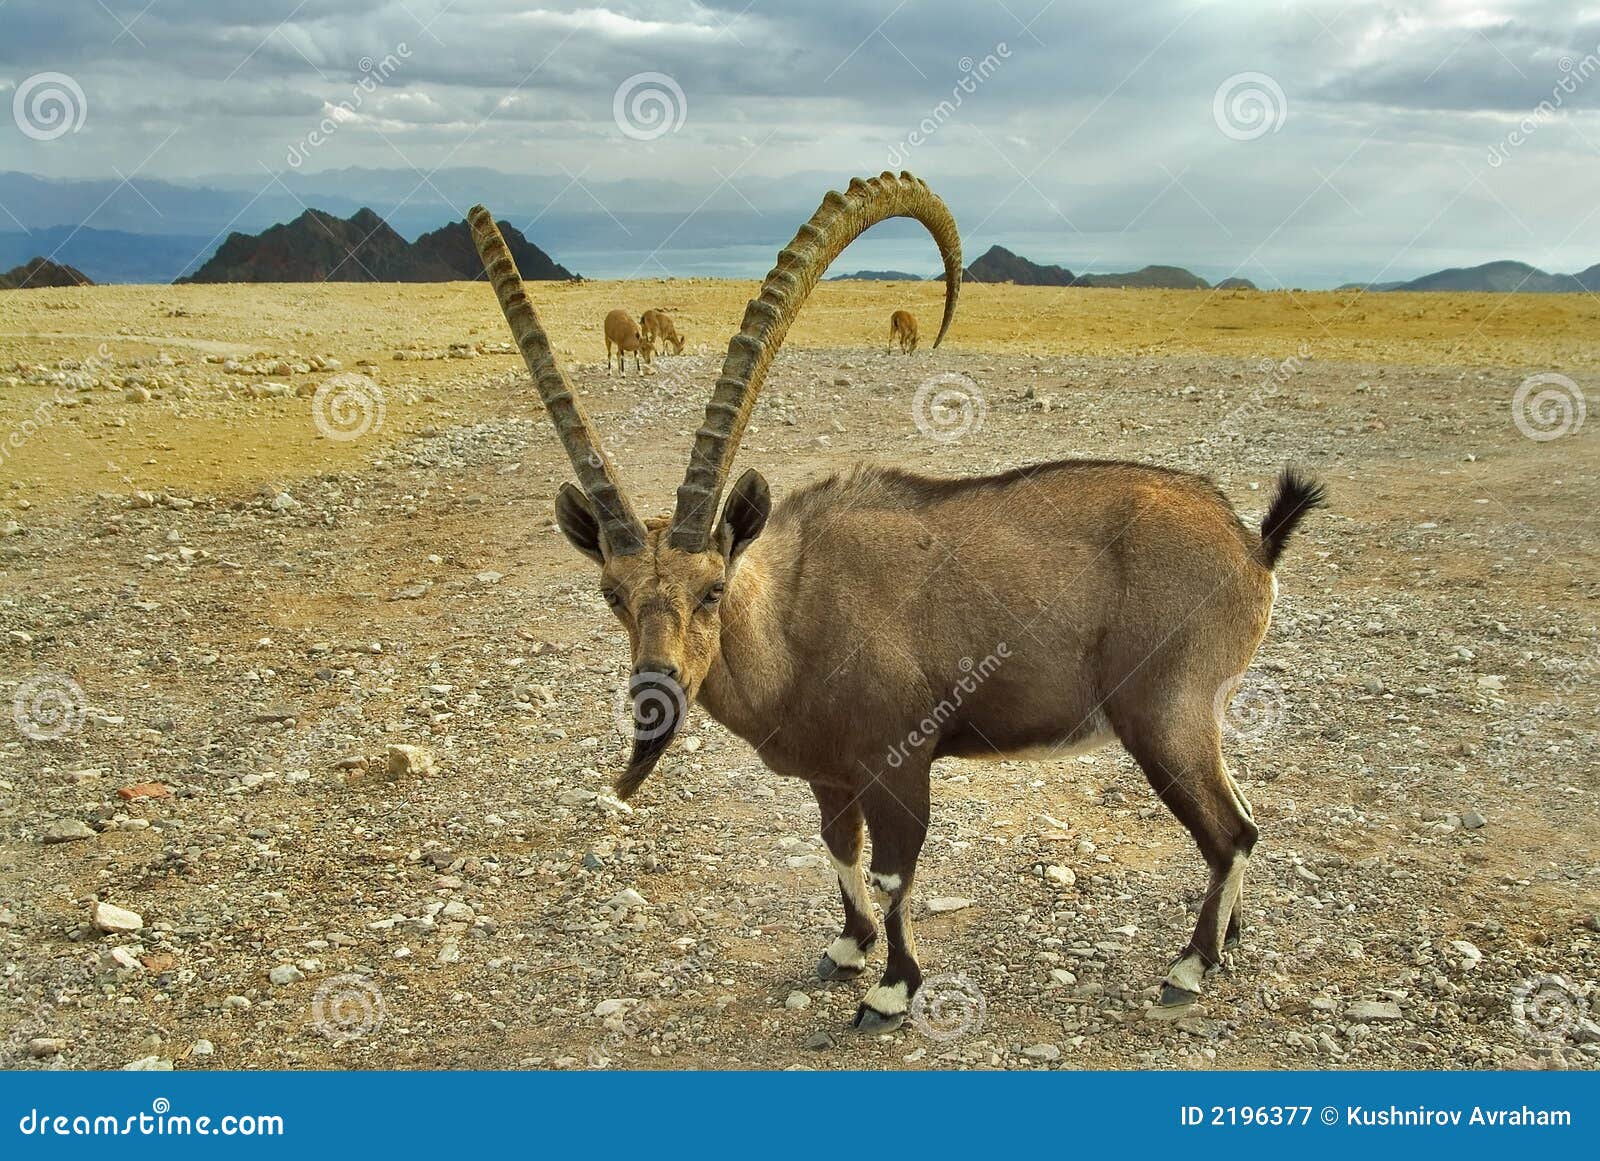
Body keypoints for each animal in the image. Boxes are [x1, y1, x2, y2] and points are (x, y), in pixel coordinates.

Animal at [466, 170, 1324, 1034]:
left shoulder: (898, 763)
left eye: (712, 588)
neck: (792, 617)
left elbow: (893, 871)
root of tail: (1252, 543)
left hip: (1164, 717)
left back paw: (1191, 965)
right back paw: (1229, 936)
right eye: (612, 593)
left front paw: (890, 990)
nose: (655, 697)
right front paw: (848, 948)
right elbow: (838, 849)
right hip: (1196, 719)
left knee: (1231, 829)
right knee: (1241, 816)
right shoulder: (831, 776)